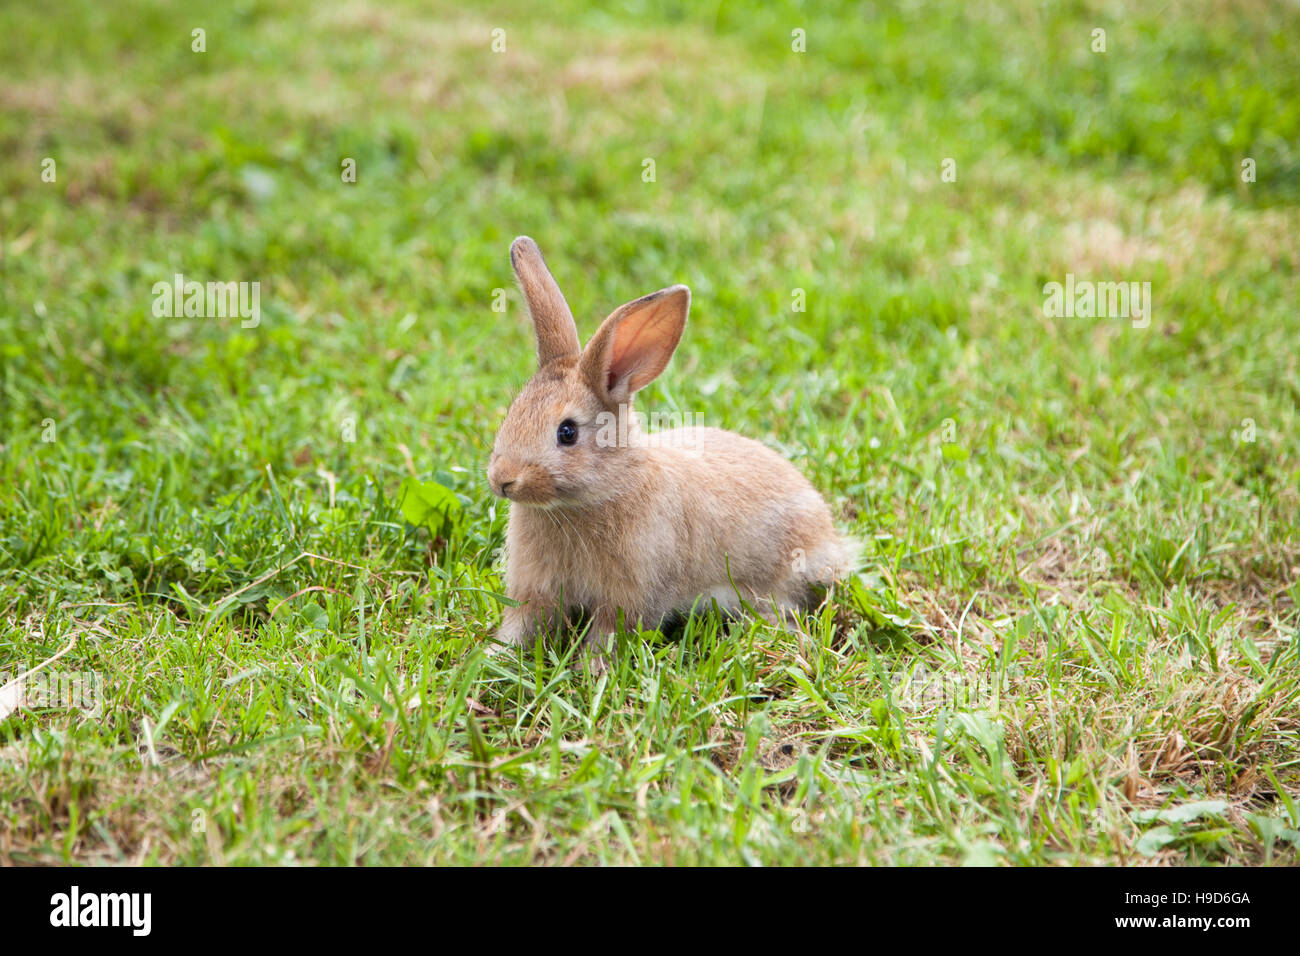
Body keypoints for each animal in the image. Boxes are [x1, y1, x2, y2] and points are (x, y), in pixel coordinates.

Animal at [486, 236, 857, 670]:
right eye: (512, 413)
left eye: (567, 432)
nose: (502, 480)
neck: (594, 494)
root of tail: (827, 536)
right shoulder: (535, 594)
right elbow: (524, 624)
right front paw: (491, 656)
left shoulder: (628, 599)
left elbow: (606, 635)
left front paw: (588, 671)